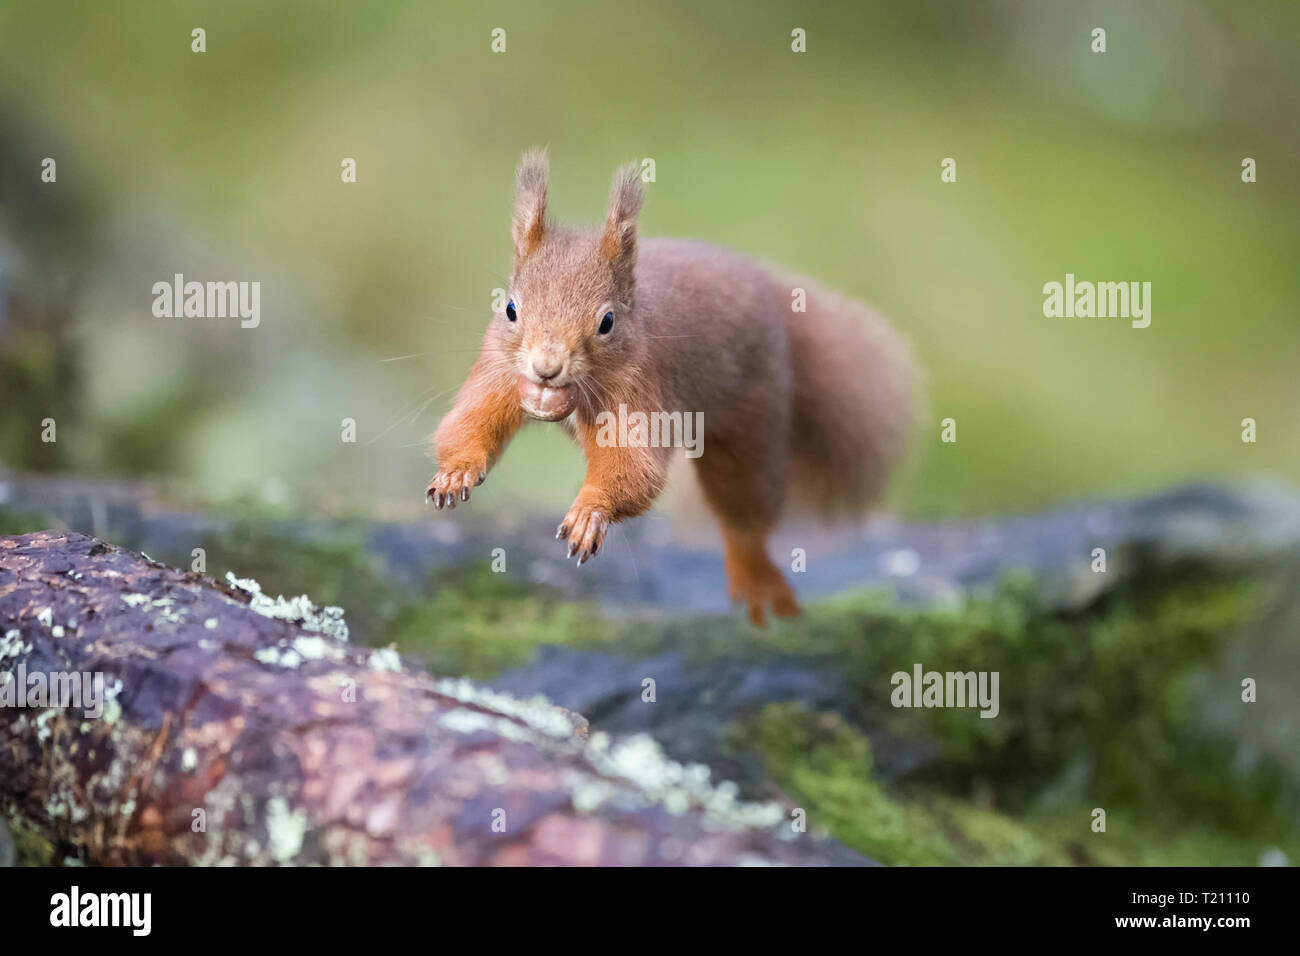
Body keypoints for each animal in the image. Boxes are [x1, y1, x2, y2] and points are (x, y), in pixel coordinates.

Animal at [427, 150, 917, 625]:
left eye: (606, 322)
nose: (546, 368)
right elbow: (470, 422)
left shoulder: (640, 389)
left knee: (744, 515)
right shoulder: (498, 371)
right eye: (510, 309)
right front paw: (456, 472)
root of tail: (772, 290)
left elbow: (633, 468)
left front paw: (589, 513)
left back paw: (758, 581)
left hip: (753, 420)